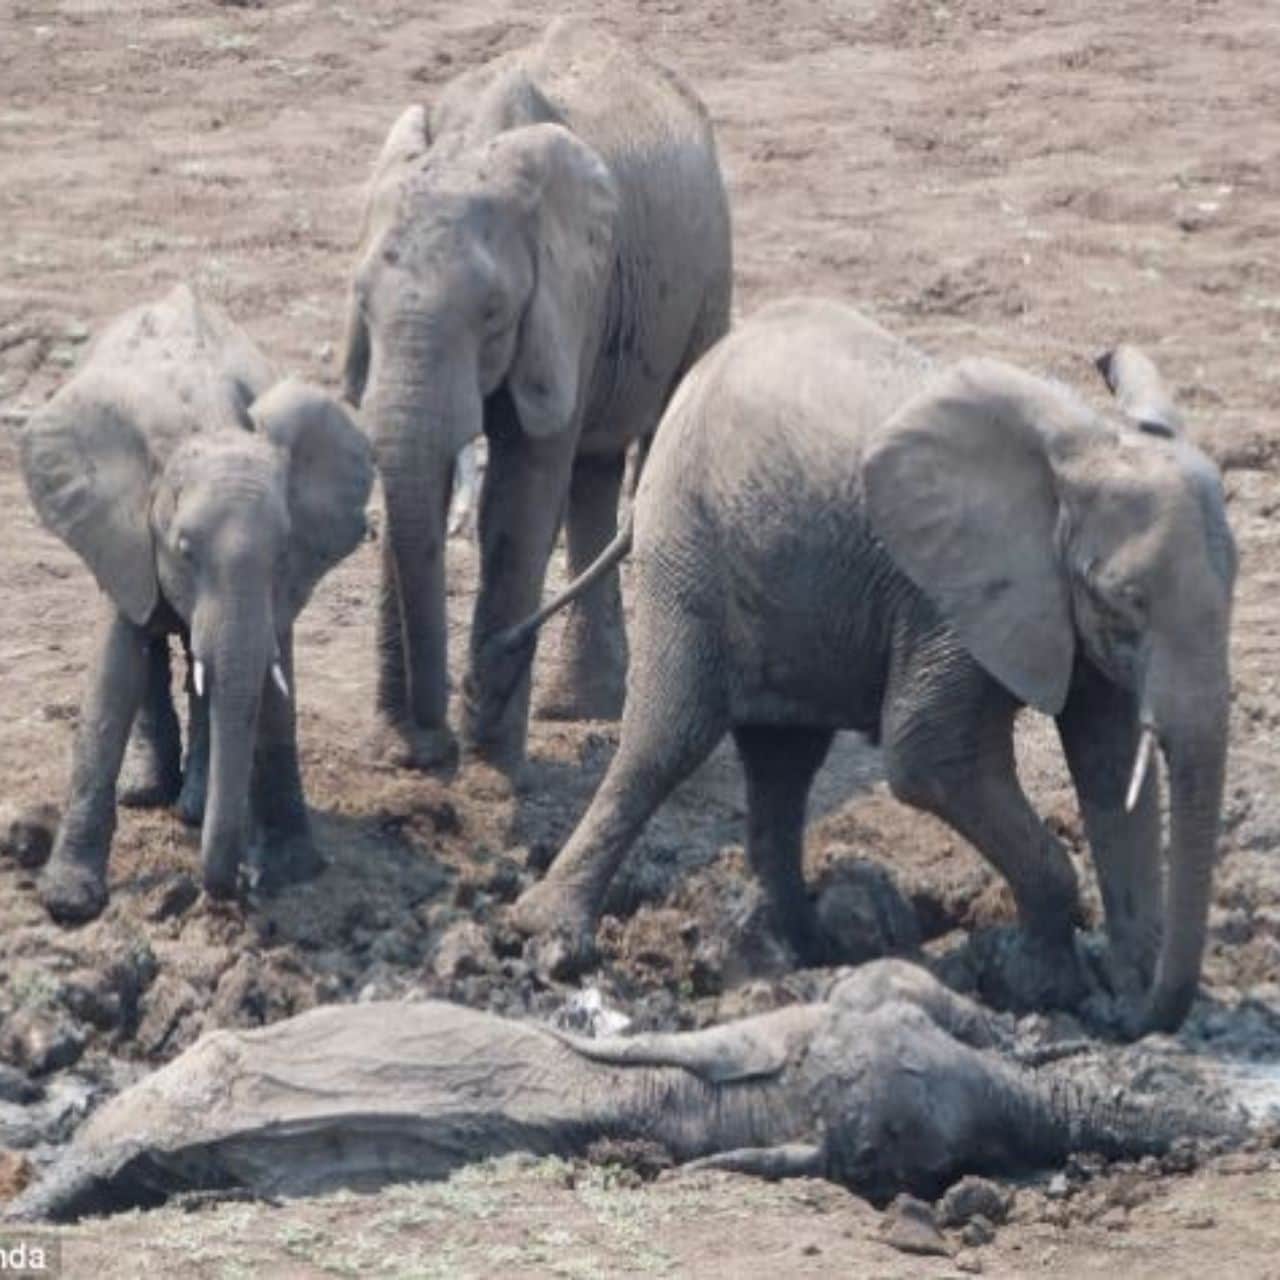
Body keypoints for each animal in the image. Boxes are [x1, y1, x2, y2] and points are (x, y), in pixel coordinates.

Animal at [19, 284, 374, 922]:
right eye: (184, 551)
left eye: (284, 552)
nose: (239, 886)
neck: (207, 422)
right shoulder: (124, 532)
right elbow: (114, 672)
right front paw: (69, 903)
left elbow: (273, 685)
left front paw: (291, 869)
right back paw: (147, 791)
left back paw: (191, 804)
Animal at [342, 16, 732, 776]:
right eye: (361, 301)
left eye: (493, 313)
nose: (439, 742)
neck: (470, 144)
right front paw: (405, 753)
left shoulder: (573, 294)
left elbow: (521, 488)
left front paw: (490, 760)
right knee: (594, 472)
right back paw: (579, 707)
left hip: (710, 274)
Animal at [505, 297, 1237, 1037]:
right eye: (1126, 601)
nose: (1131, 1014)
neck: (1080, 449)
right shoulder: (949, 597)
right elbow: (932, 759)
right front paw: (1048, 987)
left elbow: (1108, 765)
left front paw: (1116, 987)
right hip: (686, 548)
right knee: (668, 740)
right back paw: (552, 936)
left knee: (783, 763)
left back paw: (804, 950)